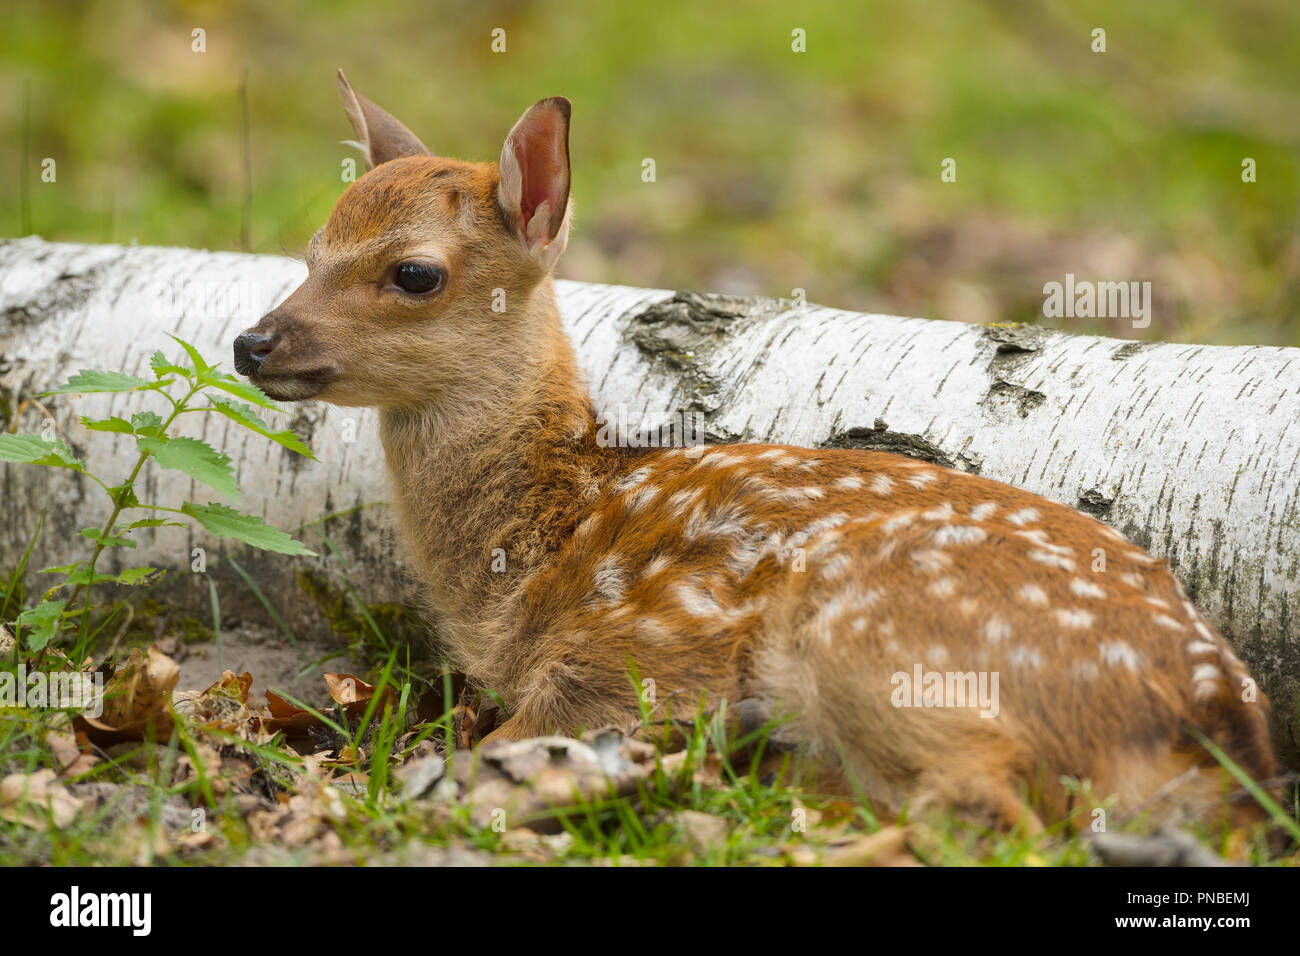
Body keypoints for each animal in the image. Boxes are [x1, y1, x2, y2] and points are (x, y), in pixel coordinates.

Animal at [233, 71, 1276, 831]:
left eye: (414, 273)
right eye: (312, 249)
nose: (252, 342)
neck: (535, 548)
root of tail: (1215, 724)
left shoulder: (628, 657)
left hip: (883, 639)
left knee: (984, 809)